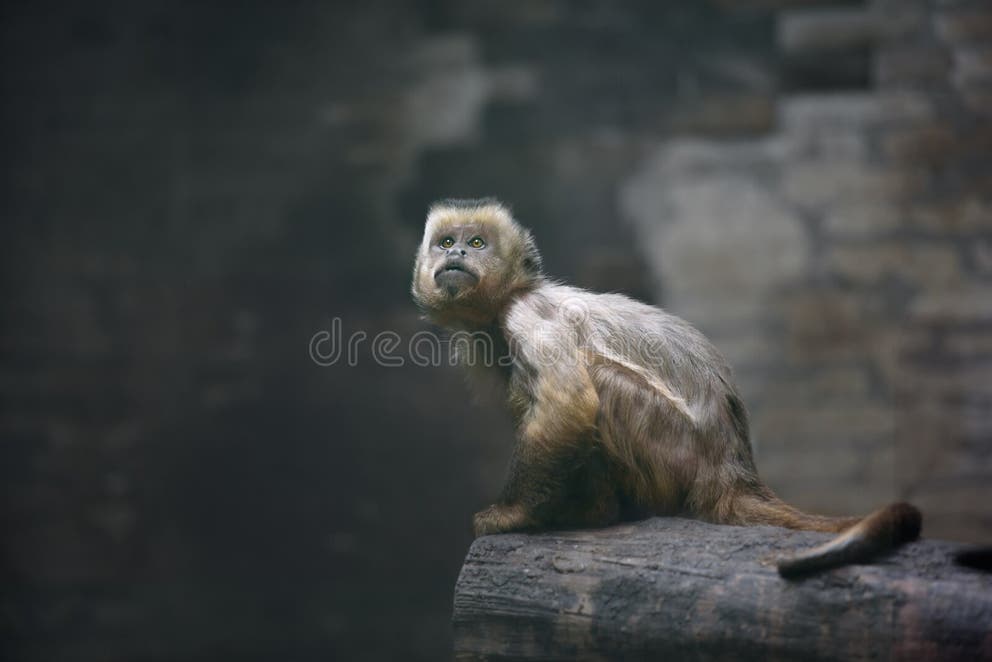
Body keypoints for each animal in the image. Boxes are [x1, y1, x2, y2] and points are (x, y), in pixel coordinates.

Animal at [411, 198, 921, 578]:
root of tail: (732, 469)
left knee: (597, 381)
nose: (456, 255)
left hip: (677, 457)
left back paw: (595, 513)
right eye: (447, 243)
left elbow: (568, 406)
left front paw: (514, 515)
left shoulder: (526, 314)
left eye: (477, 243)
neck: (502, 308)